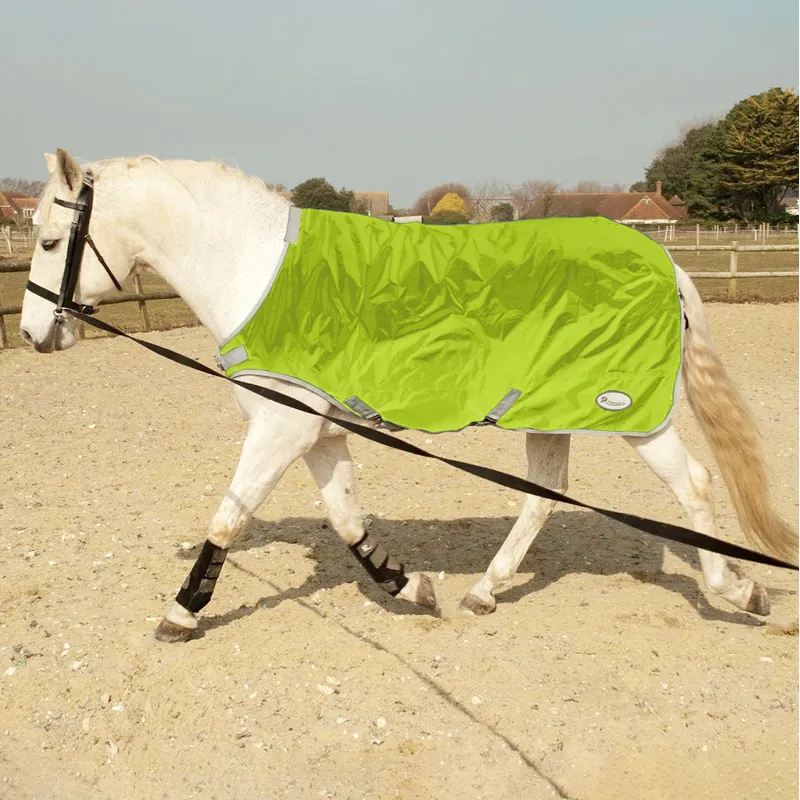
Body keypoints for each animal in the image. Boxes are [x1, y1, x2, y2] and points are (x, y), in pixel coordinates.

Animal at [19, 149, 797, 643]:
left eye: (54, 240)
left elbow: (228, 519)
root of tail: (662, 260)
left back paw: (739, 590)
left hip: (631, 415)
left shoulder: (281, 429)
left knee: (692, 486)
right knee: (545, 494)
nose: (31, 332)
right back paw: (486, 589)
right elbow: (345, 522)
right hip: (544, 409)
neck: (257, 270)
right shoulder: (318, 432)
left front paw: (182, 612)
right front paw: (408, 585)